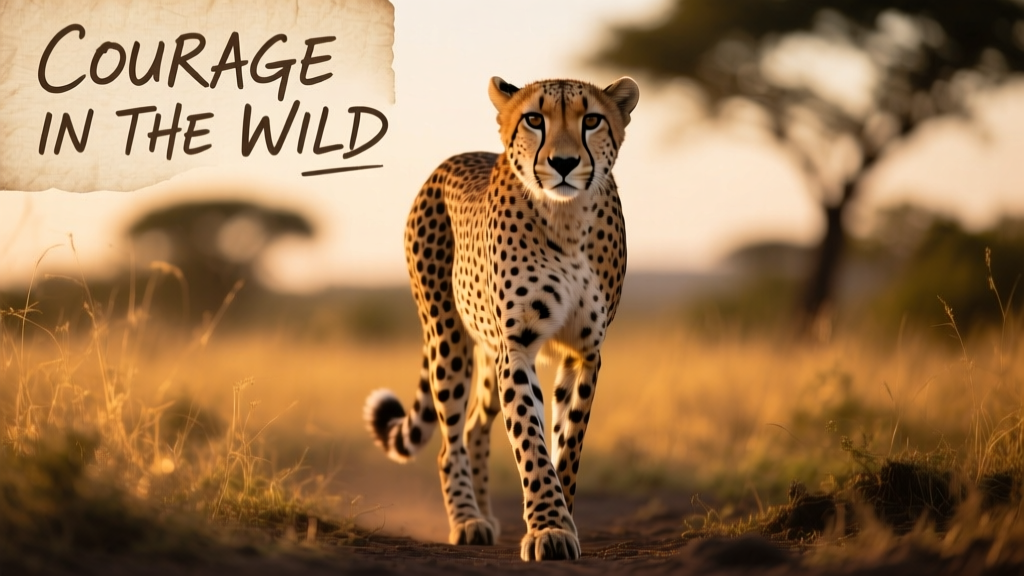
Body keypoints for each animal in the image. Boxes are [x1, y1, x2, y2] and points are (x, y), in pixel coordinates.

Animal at [363, 75, 639, 561]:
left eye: (591, 120)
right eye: (534, 119)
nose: (563, 163)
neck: (567, 218)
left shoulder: (584, 352)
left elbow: (566, 442)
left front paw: (560, 519)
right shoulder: (519, 347)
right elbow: (530, 440)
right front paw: (549, 527)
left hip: (488, 354)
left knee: (476, 424)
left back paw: (486, 514)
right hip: (448, 338)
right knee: (449, 441)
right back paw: (468, 521)